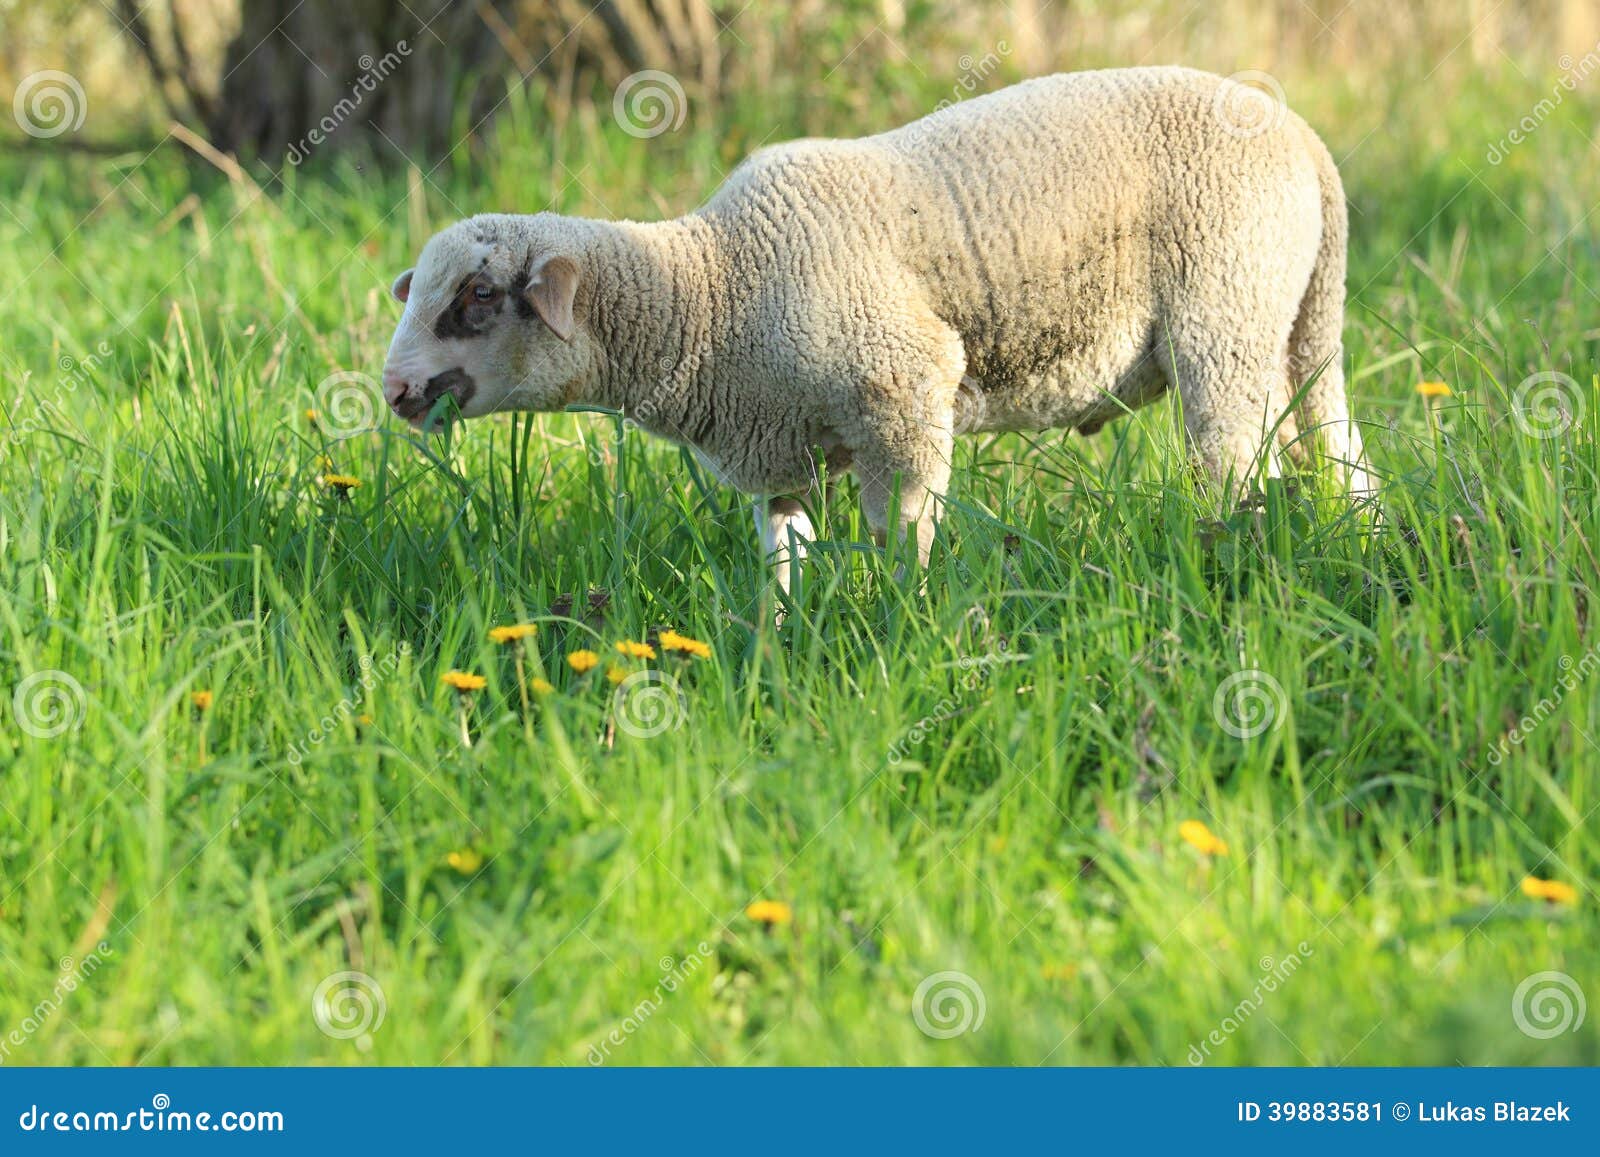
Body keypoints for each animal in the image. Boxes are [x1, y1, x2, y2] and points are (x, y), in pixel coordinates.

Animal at [382, 66, 1374, 593]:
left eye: (477, 297)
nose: (393, 390)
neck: (710, 286)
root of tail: (1303, 138)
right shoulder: (782, 445)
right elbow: (783, 556)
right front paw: (779, 646)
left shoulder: (904, 384)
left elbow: (902, 537)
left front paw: (906, 625)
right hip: (1293, 319)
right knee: (1334, 447)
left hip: (1226, 309)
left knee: (1235, 461)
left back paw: (1231, 568)